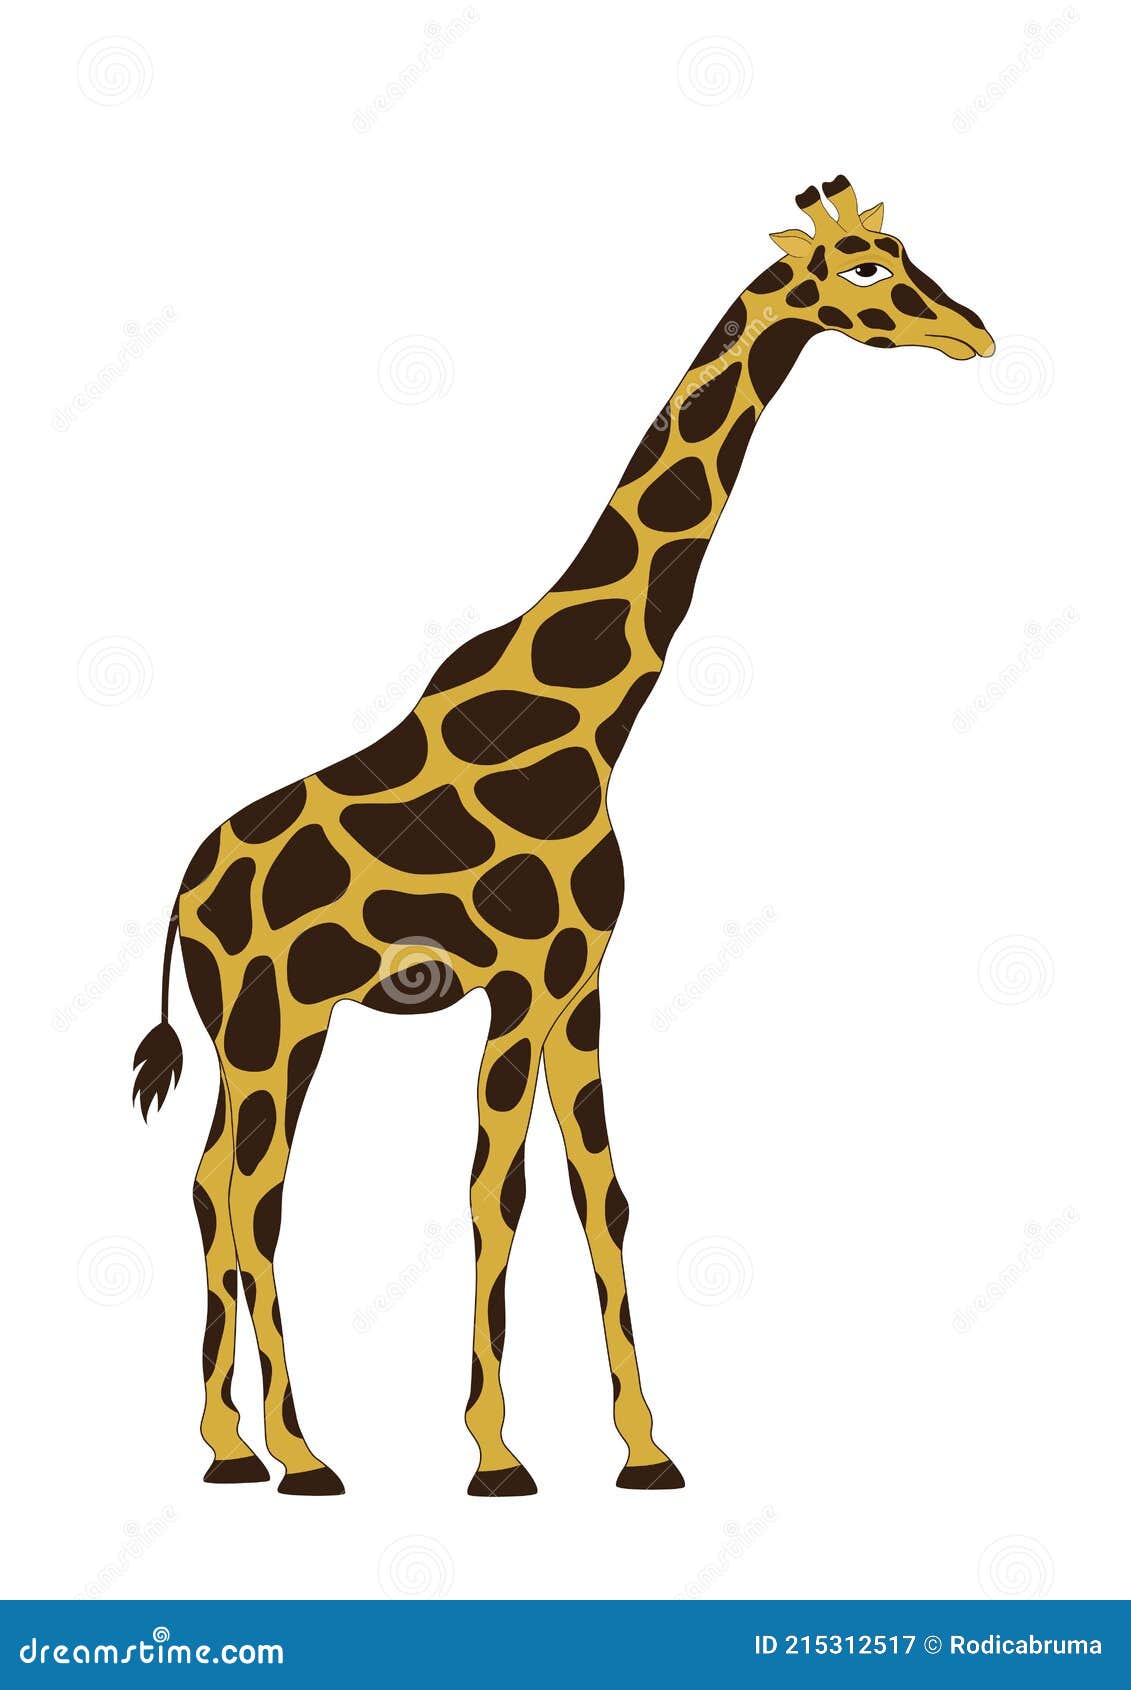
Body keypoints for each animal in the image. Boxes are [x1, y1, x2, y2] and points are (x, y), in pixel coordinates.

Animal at [133, 177, 993, 1497]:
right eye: (862, 269)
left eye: (902, 253)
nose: (973, 333)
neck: (594, 718)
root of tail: (181, 890)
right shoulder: (517, 980)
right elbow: (499, 1190)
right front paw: (496, 1454)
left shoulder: (580, 979)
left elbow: (604, 1192)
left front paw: (644, 1447)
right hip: (270, 1019)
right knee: (254, 1194)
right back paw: (301, 1451)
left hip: (274, 1026)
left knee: (210, 1180)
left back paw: (232, 1443)